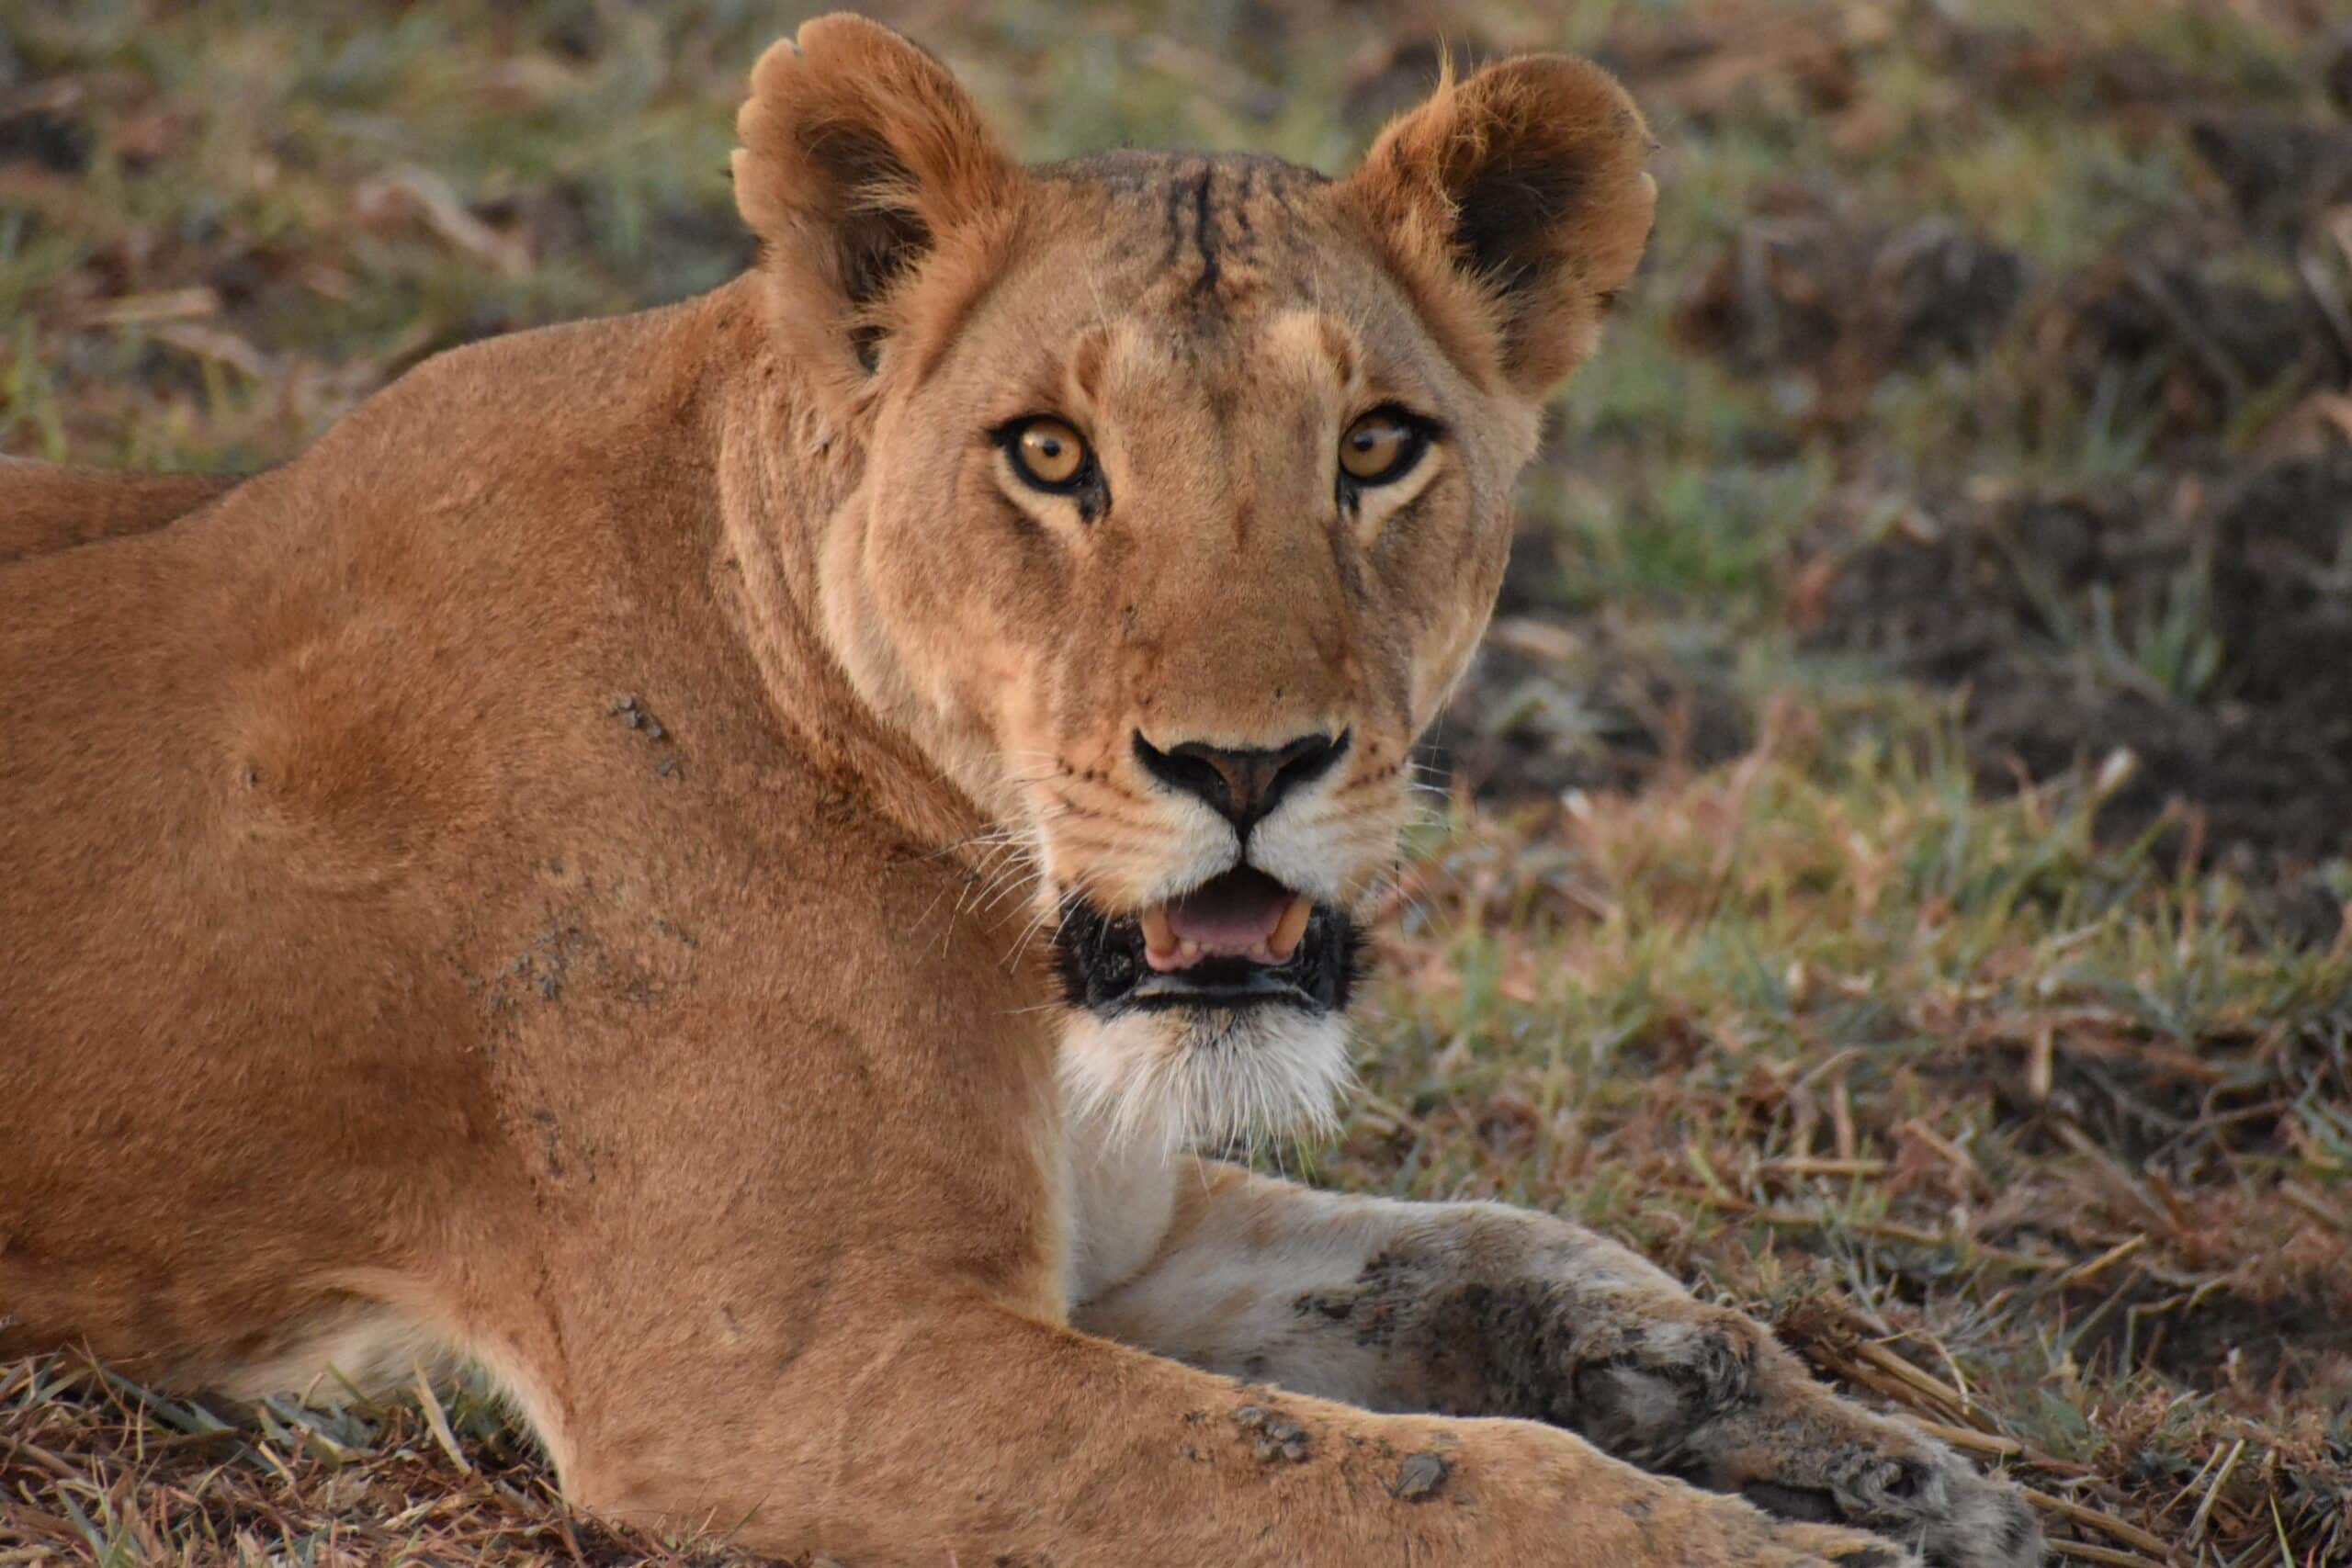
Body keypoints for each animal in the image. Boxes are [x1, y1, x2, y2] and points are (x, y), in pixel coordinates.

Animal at [0, 16, 2041, 1566]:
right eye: (1050, 457)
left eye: (1376, 445)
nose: (1245, 762)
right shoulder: (776, 1372)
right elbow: (1365, 1479)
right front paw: (1778, 1547)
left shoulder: (1106, 1225)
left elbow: (1508, 1250)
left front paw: (1882, 1461)